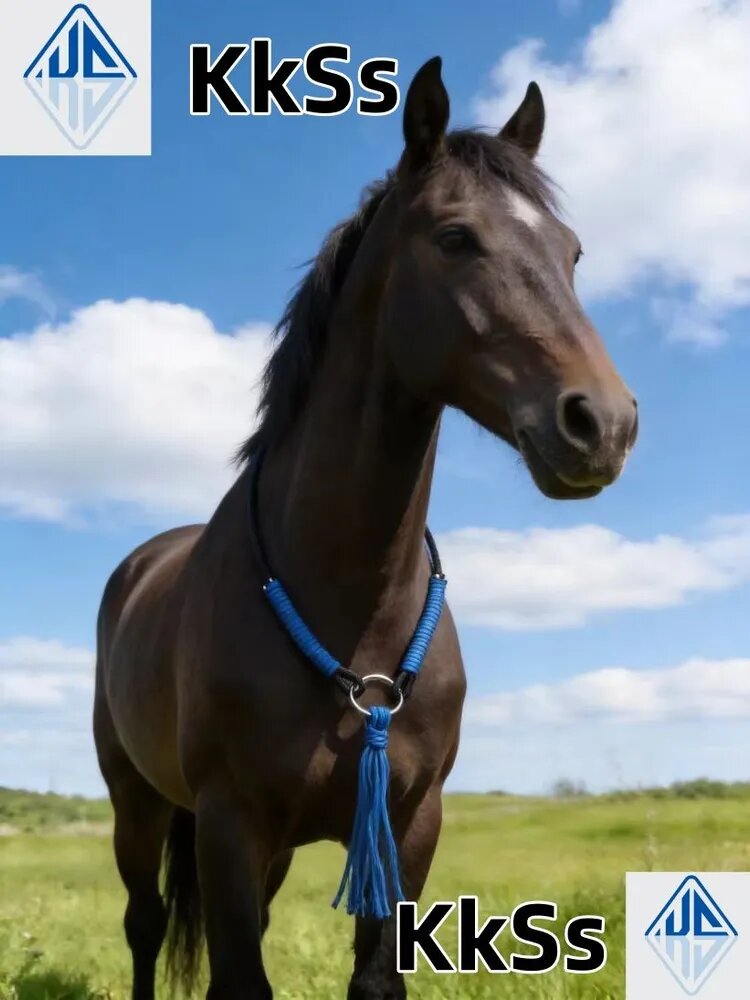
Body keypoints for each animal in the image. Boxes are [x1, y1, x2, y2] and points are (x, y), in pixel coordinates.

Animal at [93, 56, 637, 1000]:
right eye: (455, 237)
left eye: (571, 252)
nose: (602, 423)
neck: (351, 593)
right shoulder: (230, 825)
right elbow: (239, 977)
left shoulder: (408, 825)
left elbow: (375, 976)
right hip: (139, 801)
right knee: (144, 923)